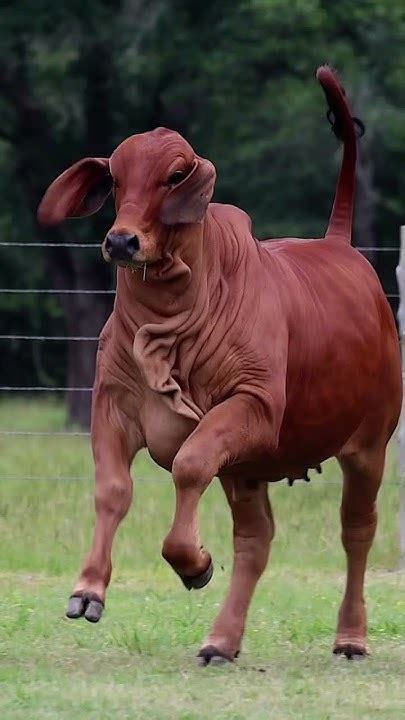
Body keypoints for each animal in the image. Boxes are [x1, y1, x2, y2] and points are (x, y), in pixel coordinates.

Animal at [38, 66, 402, 665]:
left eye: (174, 176)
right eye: (115, 179)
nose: (121, 241)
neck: (170, 316)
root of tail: (341, 245)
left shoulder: (249, 407)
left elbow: (187, 467)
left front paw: (194, 564)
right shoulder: (112, 405)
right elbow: (113, 489)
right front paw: (88, 589)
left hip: (368, 446)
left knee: (357, 530)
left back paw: (350, 637)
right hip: (248, 469)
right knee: (256, 541)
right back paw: (222, 640)